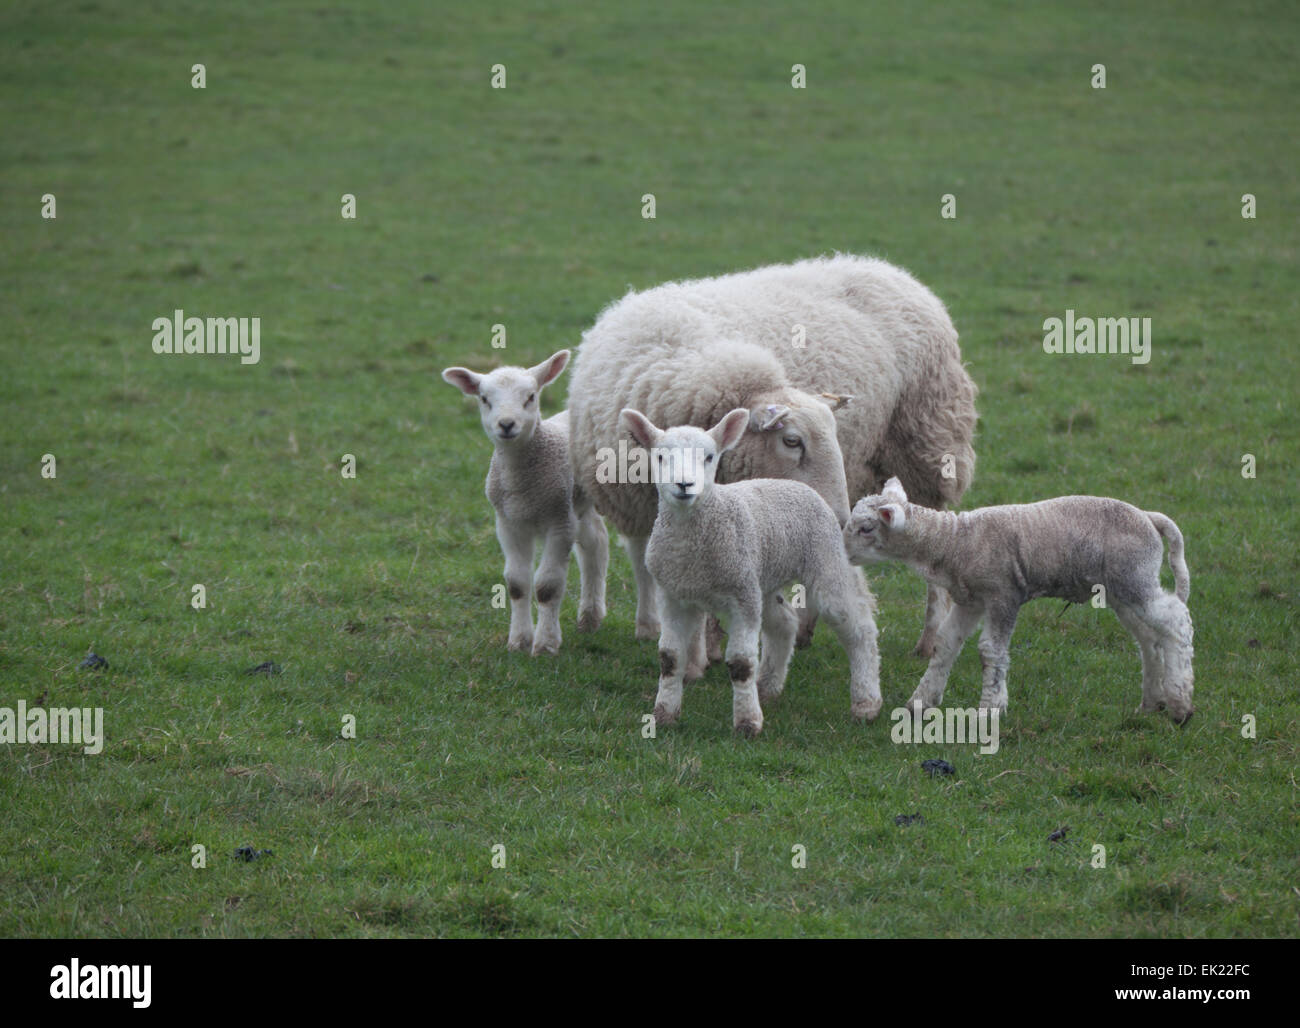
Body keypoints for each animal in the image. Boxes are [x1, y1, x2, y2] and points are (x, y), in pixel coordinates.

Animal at [442, 350, 608, 656]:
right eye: (484, 399)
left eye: (530, 396)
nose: (506, 424)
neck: (523, 487)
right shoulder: (509, 523)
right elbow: (517, 583)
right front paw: (519, 641)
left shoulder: (559, 522)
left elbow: (547, 586)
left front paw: (545, 645)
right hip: (579, 503)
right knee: (596, 544)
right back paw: (590, 617)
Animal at [567, 253, 977, 659]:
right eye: (792, 441)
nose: (840, 517)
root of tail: (892, 271)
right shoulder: (634, 500)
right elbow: (644, 564)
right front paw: (651, 627)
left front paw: (707, 648)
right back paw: (807, 630)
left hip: (925, 450)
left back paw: (929, 640)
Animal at [620, 406, 882, 737]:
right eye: (660, 457)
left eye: (709, 457)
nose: (684, 485)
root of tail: (800, 486)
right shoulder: (673, 596)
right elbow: (670, 658)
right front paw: (664, 714)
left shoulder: (741, 596)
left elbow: (741, 663)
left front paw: (747, 723)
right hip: (761, 578)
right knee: (784, 623)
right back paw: (768, 687)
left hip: (825, 558)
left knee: (859, 629)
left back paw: (866, 703)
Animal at [843, 477, 1194, 723]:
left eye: (866, 528)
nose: (843, 553)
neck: (955, 541)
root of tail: (1149, 517)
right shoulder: (970, 600)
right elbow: (945, 644)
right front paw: (921, 702)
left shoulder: (1003, 595)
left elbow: (991, 651)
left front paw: (990, 709)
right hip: (1123, 590)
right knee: (1150, 639)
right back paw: (1152, 702)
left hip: (1136, 579)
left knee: (1177, 621)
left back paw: (1181, 704)